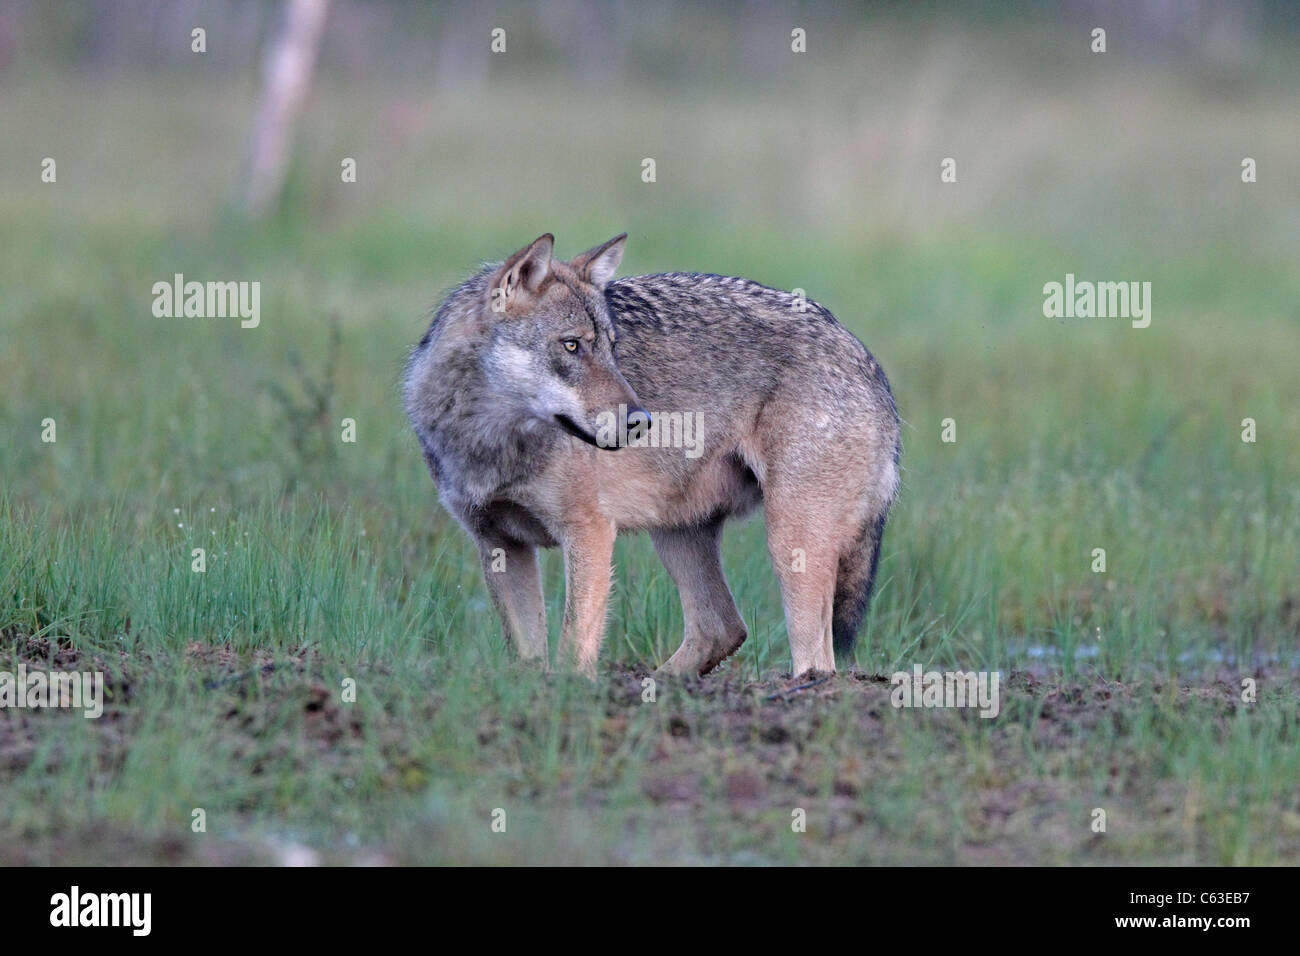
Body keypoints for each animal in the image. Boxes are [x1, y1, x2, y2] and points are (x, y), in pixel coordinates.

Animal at [404, 233, 900, 678]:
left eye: (612, 348)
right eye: (571, 345)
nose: (641, 420)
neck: (491, 440)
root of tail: (867, 359)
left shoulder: (589, 533)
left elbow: (572, 649)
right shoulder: (498, 544)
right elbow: (527, 657)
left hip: (789, 543)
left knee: (816, 663)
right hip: (677, 533)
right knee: (723, 628)